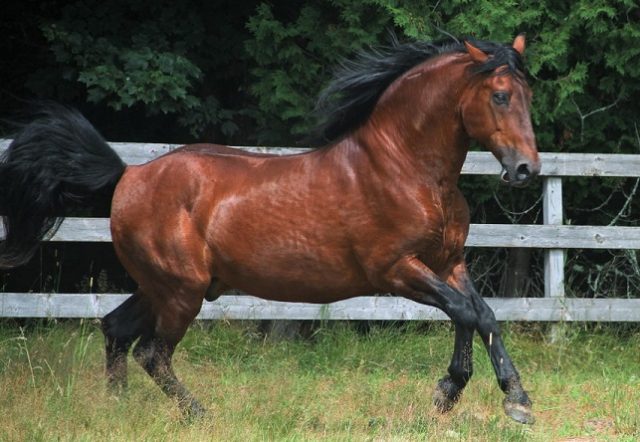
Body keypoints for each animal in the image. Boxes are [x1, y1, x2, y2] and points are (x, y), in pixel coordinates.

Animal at [0, 34, 540, 424]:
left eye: (527, 96)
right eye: (499, 96)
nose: (526, 170)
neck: (406, 168)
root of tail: (128, 174)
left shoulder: (448, 263)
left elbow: (483, 314)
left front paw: (512, 397)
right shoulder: (394, 270)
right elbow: (464, 313)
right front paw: (452, 392)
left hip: (161, 286)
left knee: (115, 329)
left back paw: (119, 410)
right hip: (181, 290)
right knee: (151, 353)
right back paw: (199, 415)